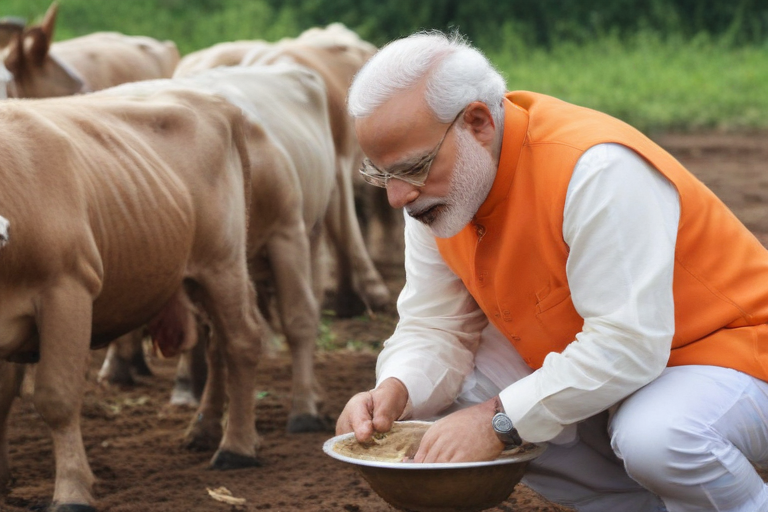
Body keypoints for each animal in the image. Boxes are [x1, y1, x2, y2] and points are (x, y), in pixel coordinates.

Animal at [0, 86, 264, 510]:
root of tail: (213, 100)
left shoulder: (68, 288)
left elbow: (56, 398)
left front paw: (72, 492)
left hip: (222, 263)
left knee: (241, 341)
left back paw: (235, 447)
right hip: (192, 275)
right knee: (217, 344)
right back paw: (204, 431)